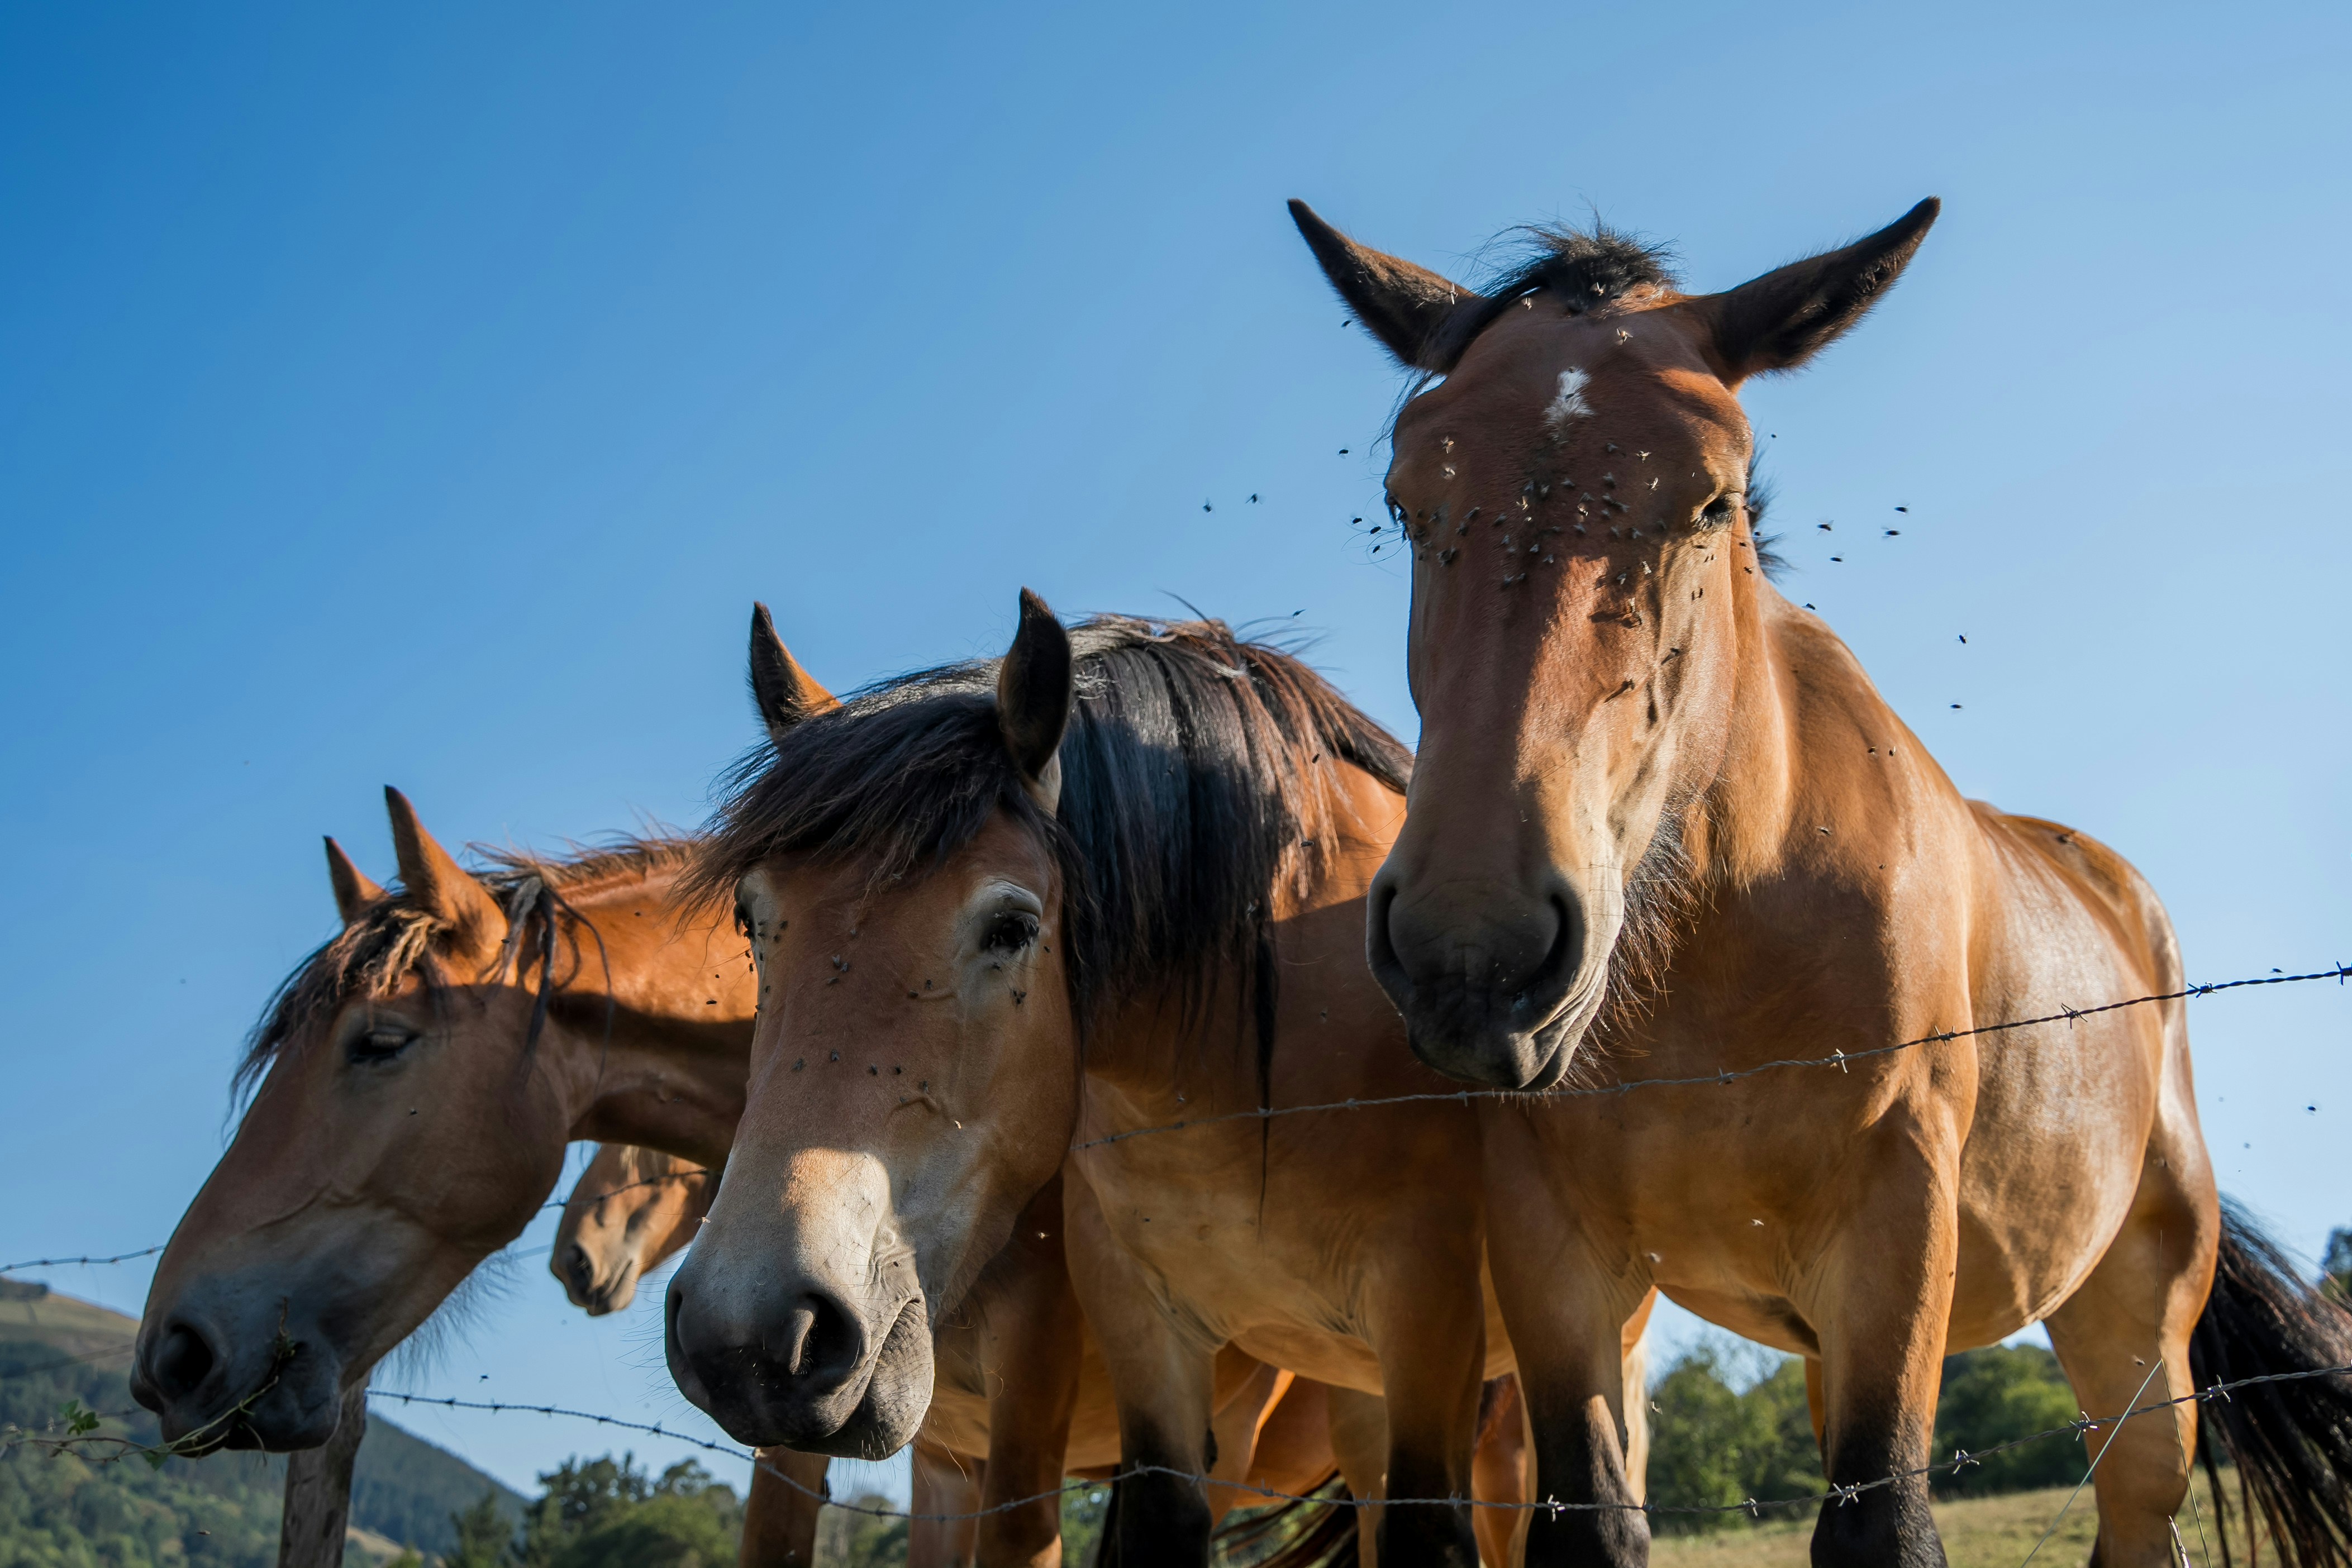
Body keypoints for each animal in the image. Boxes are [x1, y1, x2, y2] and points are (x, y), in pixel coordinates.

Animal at [1291, 197, 2352, 1568]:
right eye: (1407, 496)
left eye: (1711, 498)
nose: (1472, 954)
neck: (1712, 949)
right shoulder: (1552, 1249)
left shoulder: (1890, 1226)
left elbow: (1881, 1523)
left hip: (2136, 1339)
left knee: (2137, 1501)